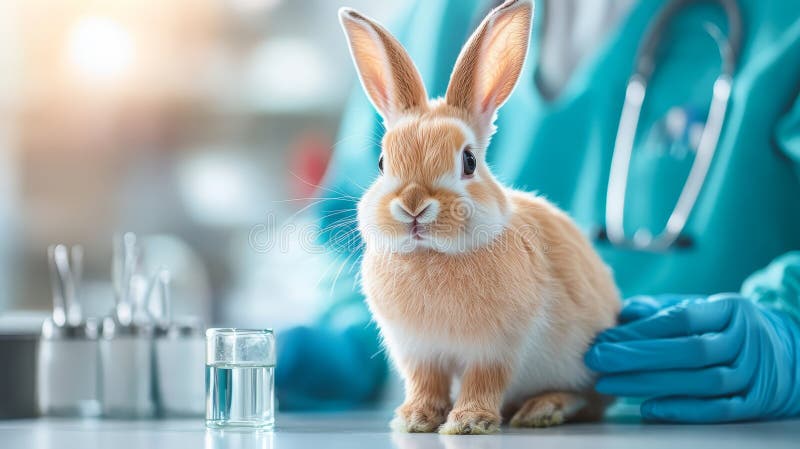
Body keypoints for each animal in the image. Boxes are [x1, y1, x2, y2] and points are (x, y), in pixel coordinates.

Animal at [338, 0, 620, 435]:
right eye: (382, 163)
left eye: (469, 161)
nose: (413, 205)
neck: (431, 255)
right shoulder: (419, 351)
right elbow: (425, 383)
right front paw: (414, 418)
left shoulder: (496, 348)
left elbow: (482, 381)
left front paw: (468, 423)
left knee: (586, 400)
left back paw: (543, 409)